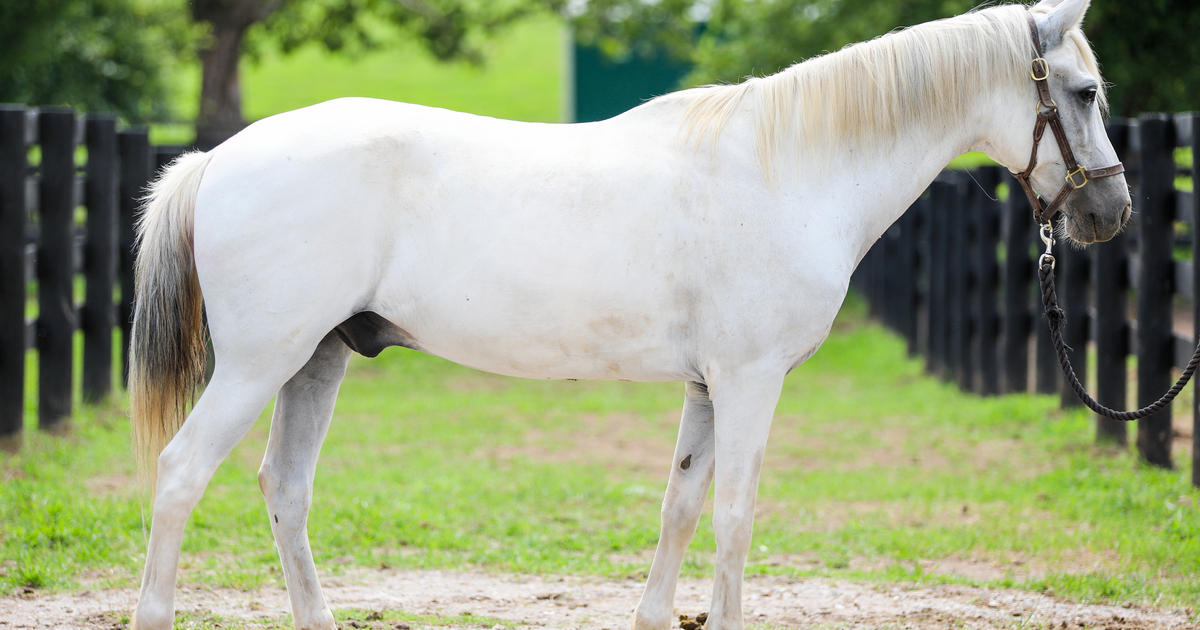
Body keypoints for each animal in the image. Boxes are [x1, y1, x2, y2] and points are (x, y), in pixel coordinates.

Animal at [127, 0, 1130, 628]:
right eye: (1082, 93)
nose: (1109, 213)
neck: (789, 169)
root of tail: (216, 160)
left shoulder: (709, 386)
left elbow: (681, 505)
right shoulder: (750, 381)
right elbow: (735, 515)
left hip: (317, 360)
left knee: (285, 489)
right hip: (260, 363)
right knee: (180, 476)